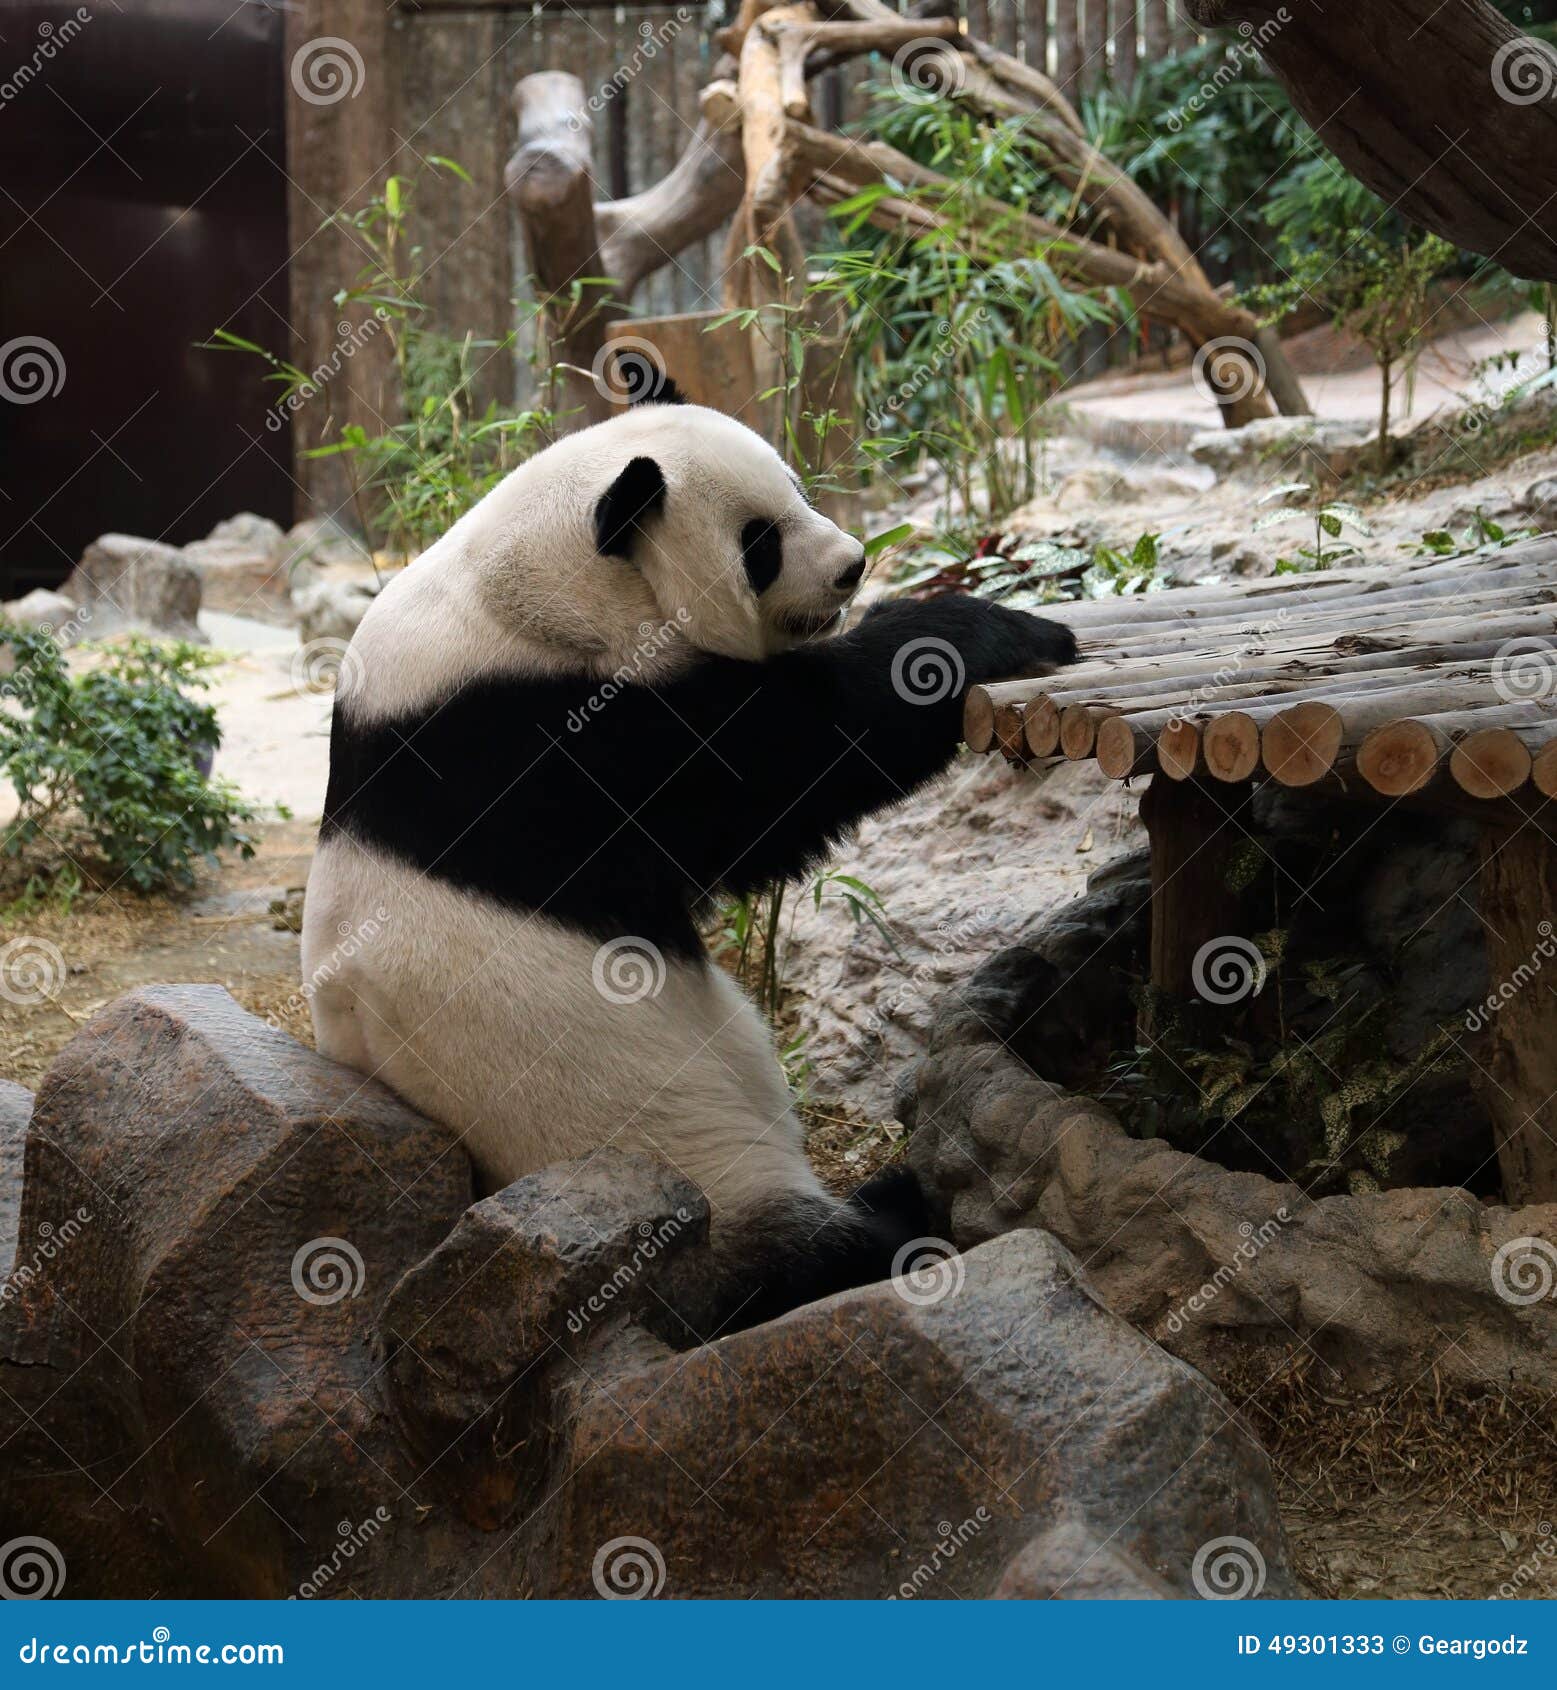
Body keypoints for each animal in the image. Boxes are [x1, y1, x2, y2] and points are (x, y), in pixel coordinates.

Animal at [301, 384, 1075, 1338]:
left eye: (797, 485)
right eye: (759, 542)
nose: (852, 566)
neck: (525, 589)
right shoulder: (534, 739)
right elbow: (774, 766)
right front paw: (982, 629)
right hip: (669, 1180)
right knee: (779, 1254)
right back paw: (888, 1216)